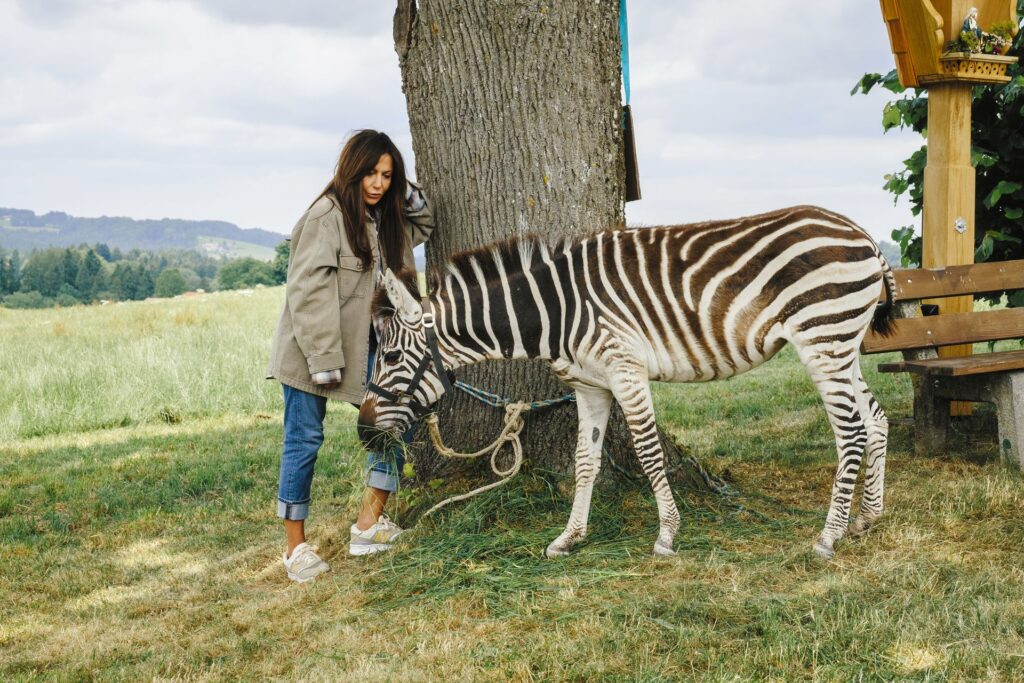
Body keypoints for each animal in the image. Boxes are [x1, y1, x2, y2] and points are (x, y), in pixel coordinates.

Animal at [358, 205, 896, 559]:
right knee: (876, 420)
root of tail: (864, 235)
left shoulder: (625, 371)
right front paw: (569, 537)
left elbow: (648, 451)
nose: (362, 432)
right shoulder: (589, 386)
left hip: (822, 338)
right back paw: (867, 518)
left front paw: (667, 534)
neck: (555, 310)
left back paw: (829, 536)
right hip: (842, 345)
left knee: (850, 432)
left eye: (389, 356)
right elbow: (585, 461)